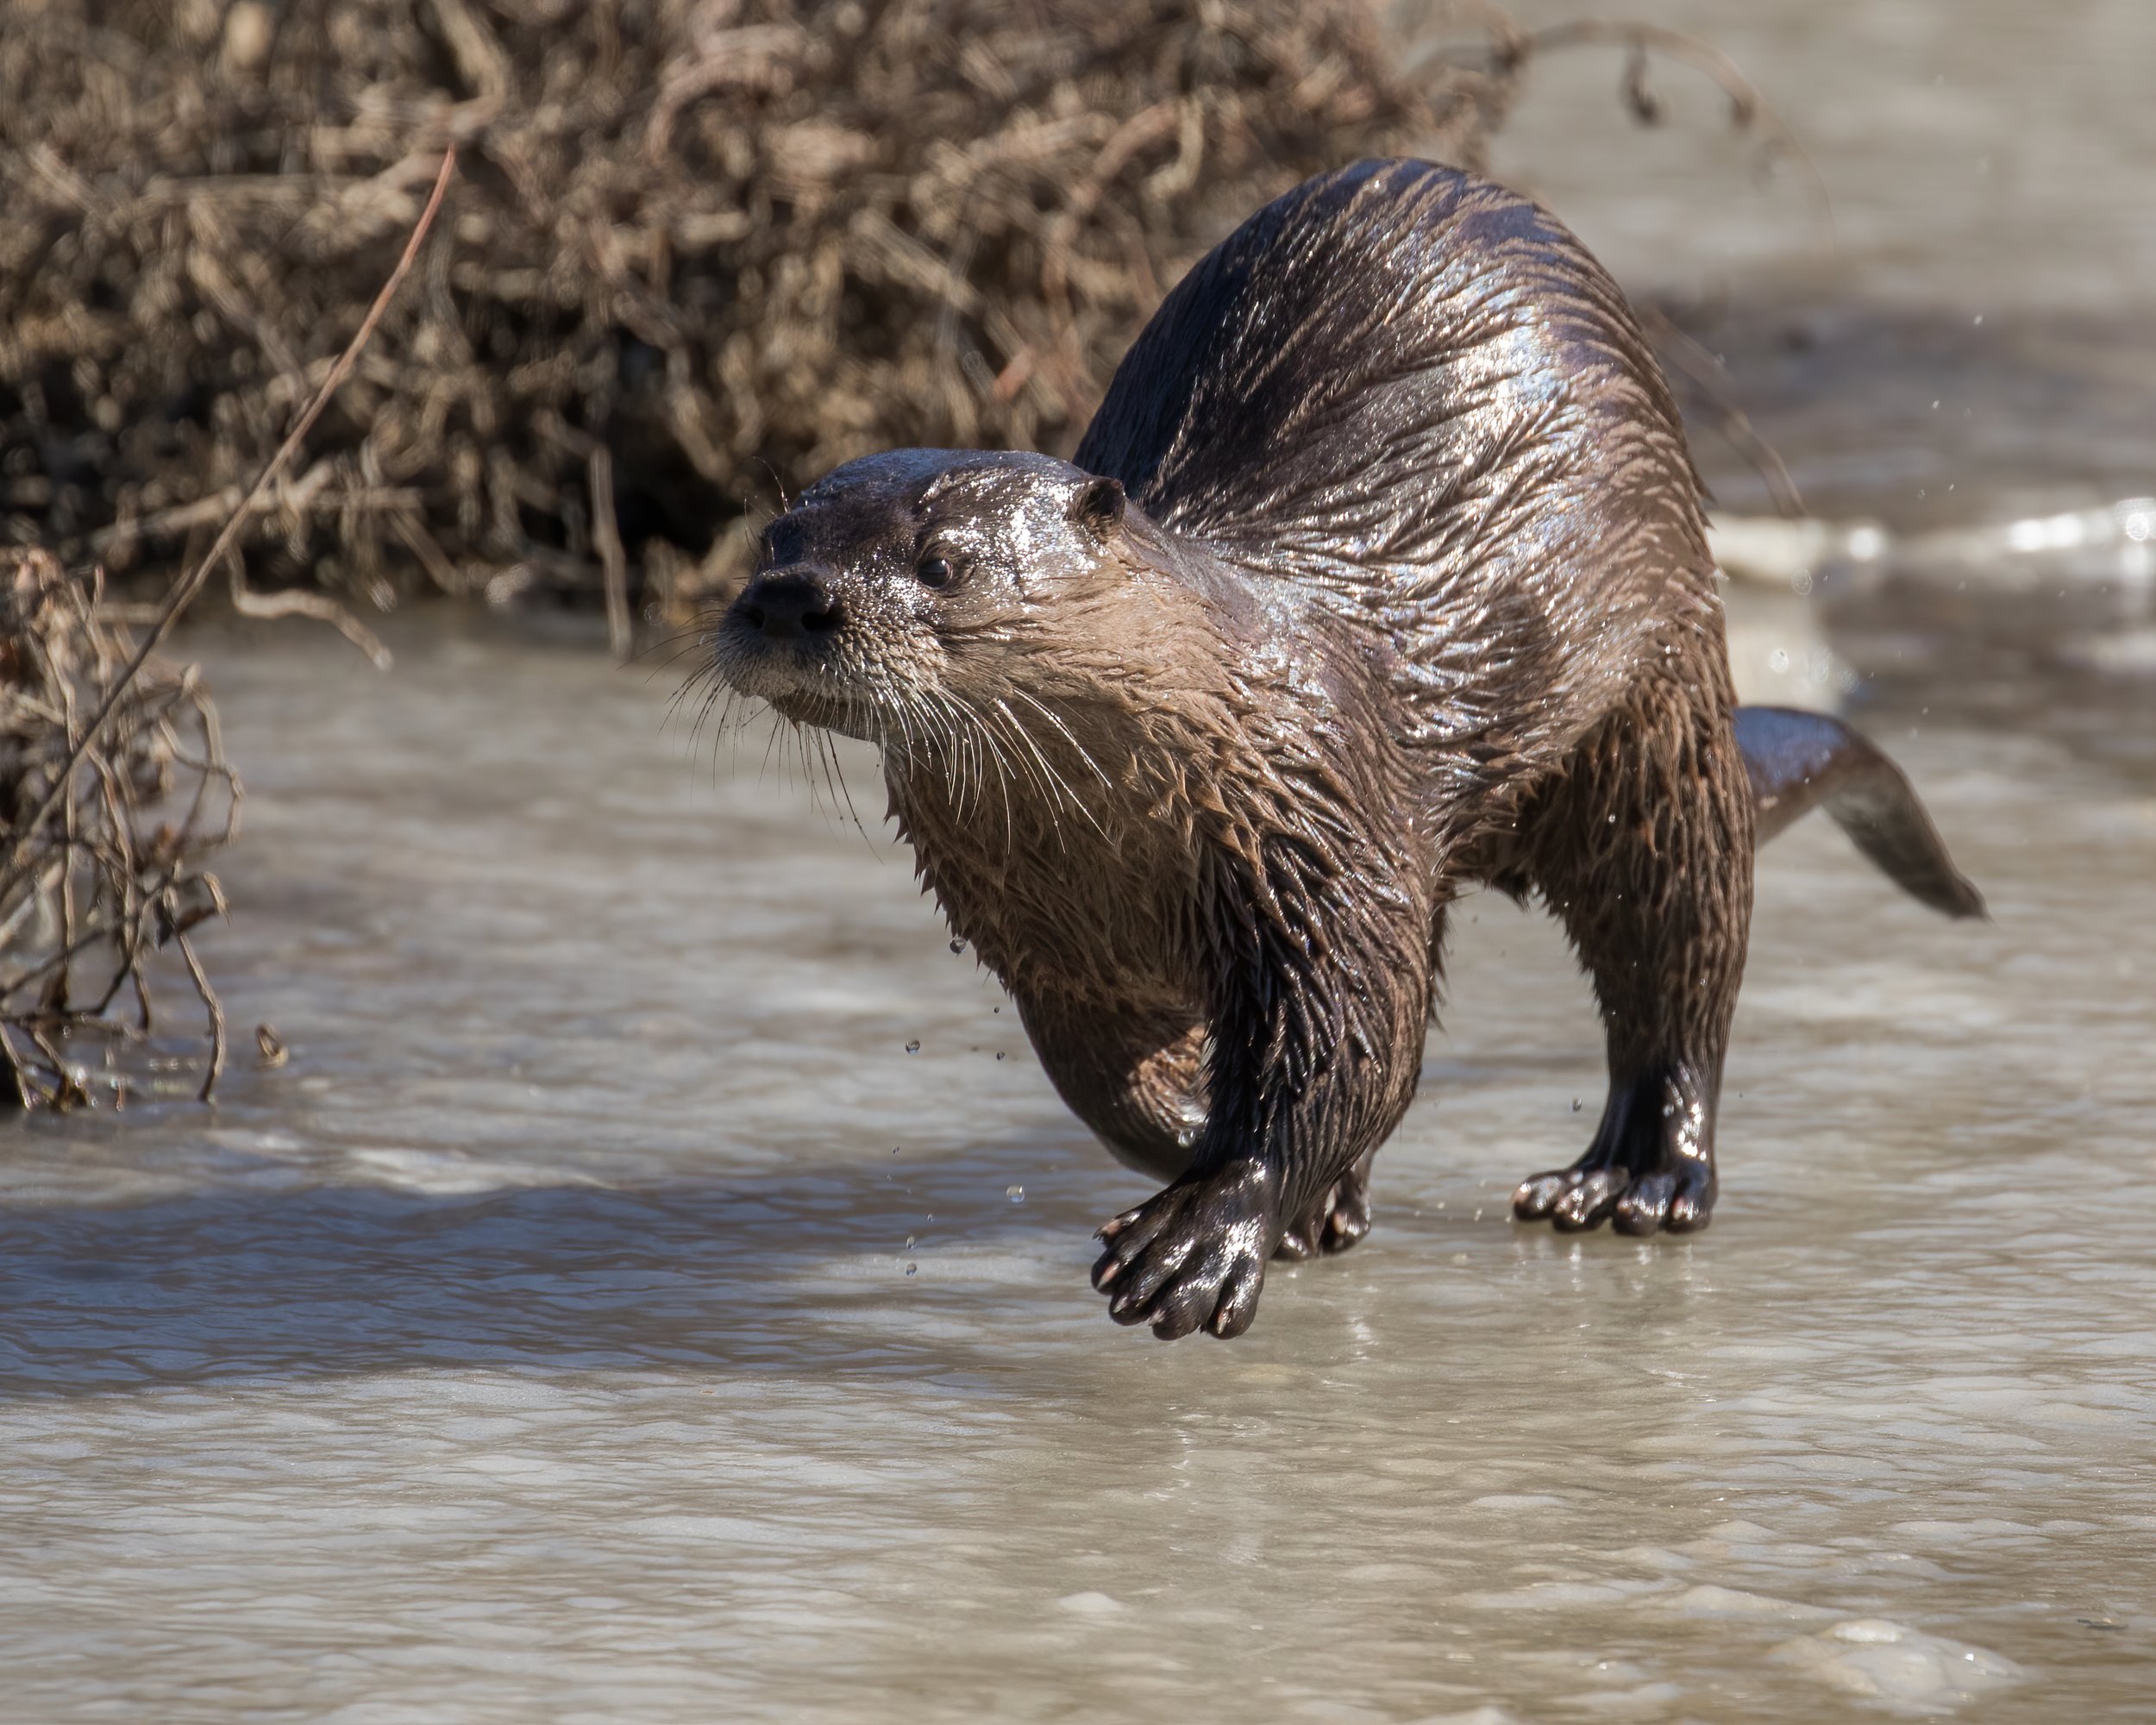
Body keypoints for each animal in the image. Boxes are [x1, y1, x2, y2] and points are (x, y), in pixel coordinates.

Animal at [704, 160, 1982, 1340]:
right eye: (773, 535)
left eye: (945, 562)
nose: (790, 599)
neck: (1134, 832)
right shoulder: (1043, 940)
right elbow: (1108, 1084)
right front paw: (1264, 1179)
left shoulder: (1323, 832)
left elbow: (1349, 1039)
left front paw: (1212, 1225)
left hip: (1652, 719)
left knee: (1679, 949)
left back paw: (1630, 1181)